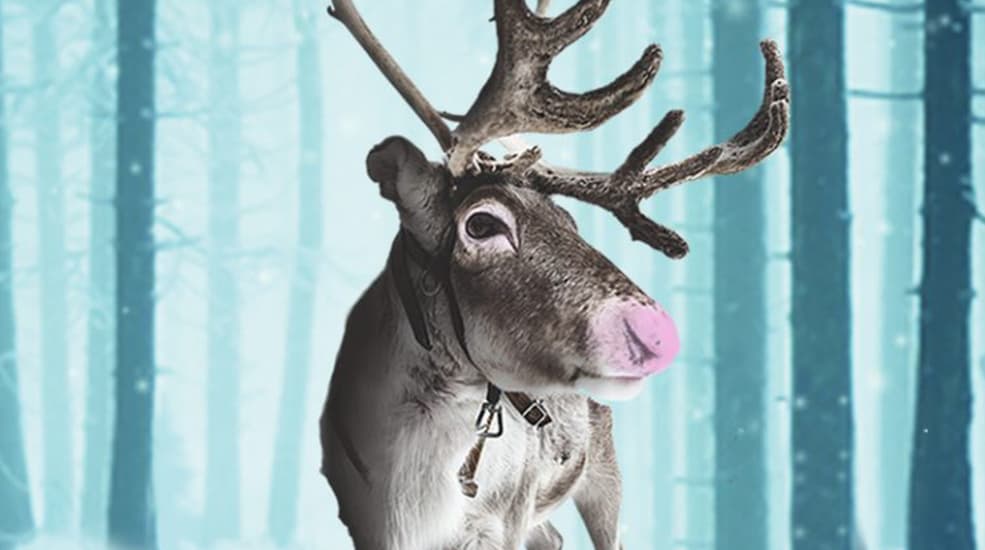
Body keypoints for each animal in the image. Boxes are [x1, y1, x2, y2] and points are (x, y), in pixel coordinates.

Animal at [319, 1, 789, 549]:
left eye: (569, 222)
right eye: (481, 223)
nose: (654, 332)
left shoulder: (506, 516)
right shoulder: (361, 520)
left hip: (602, 475)